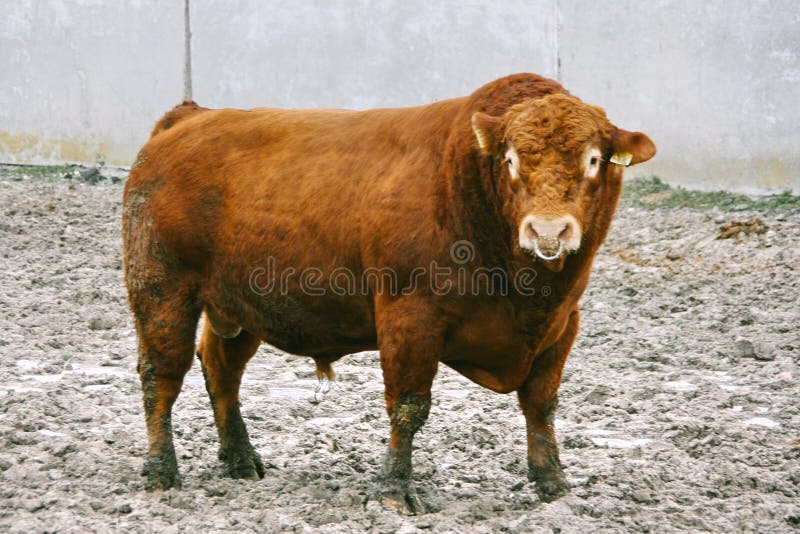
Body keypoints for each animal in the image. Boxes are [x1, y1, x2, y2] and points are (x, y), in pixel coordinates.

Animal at [122, 73, 655, 513]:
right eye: (510, 159)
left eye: (592, 159)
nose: (548, 230)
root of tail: (191, 116)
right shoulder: (410, 318)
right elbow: (409, 406)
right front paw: (396, 490)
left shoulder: (563, 324)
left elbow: (541, 403)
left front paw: (553, 484)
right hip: (161, 289)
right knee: (161, 376)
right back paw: (161, 472)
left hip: (239, 306)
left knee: (221, 369)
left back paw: (239, 460)